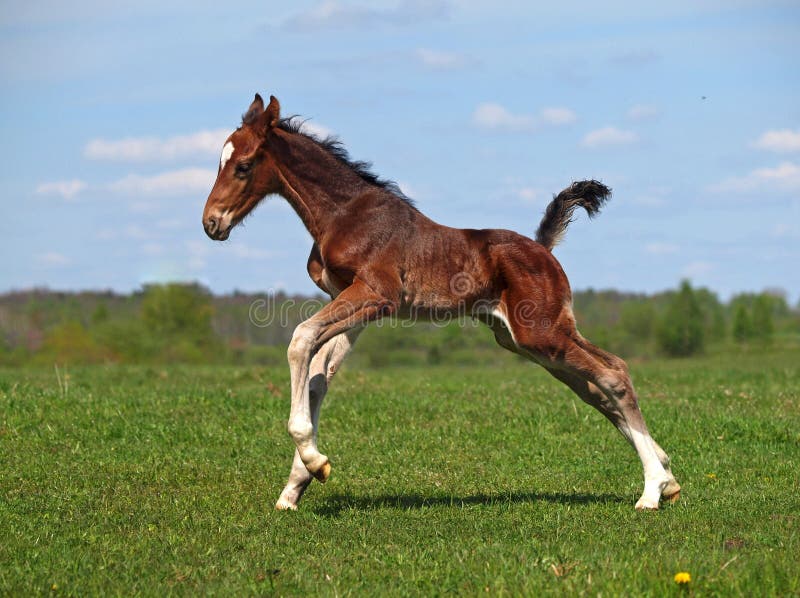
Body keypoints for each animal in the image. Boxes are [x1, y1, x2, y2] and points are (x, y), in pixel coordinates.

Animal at [202, 93, 681, 511]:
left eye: (244, 166)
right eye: (220, 161)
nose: (211, 223)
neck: (345, 214)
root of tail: (544, 247)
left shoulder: (374, 294)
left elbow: (301, 341)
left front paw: (314, 461)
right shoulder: (352, 302)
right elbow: (321, 377)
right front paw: (297, 483)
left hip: (541, 333)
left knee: (613, 374)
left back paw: (652, 491)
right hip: (526, 340)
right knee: (597, 386)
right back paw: (668, 475)